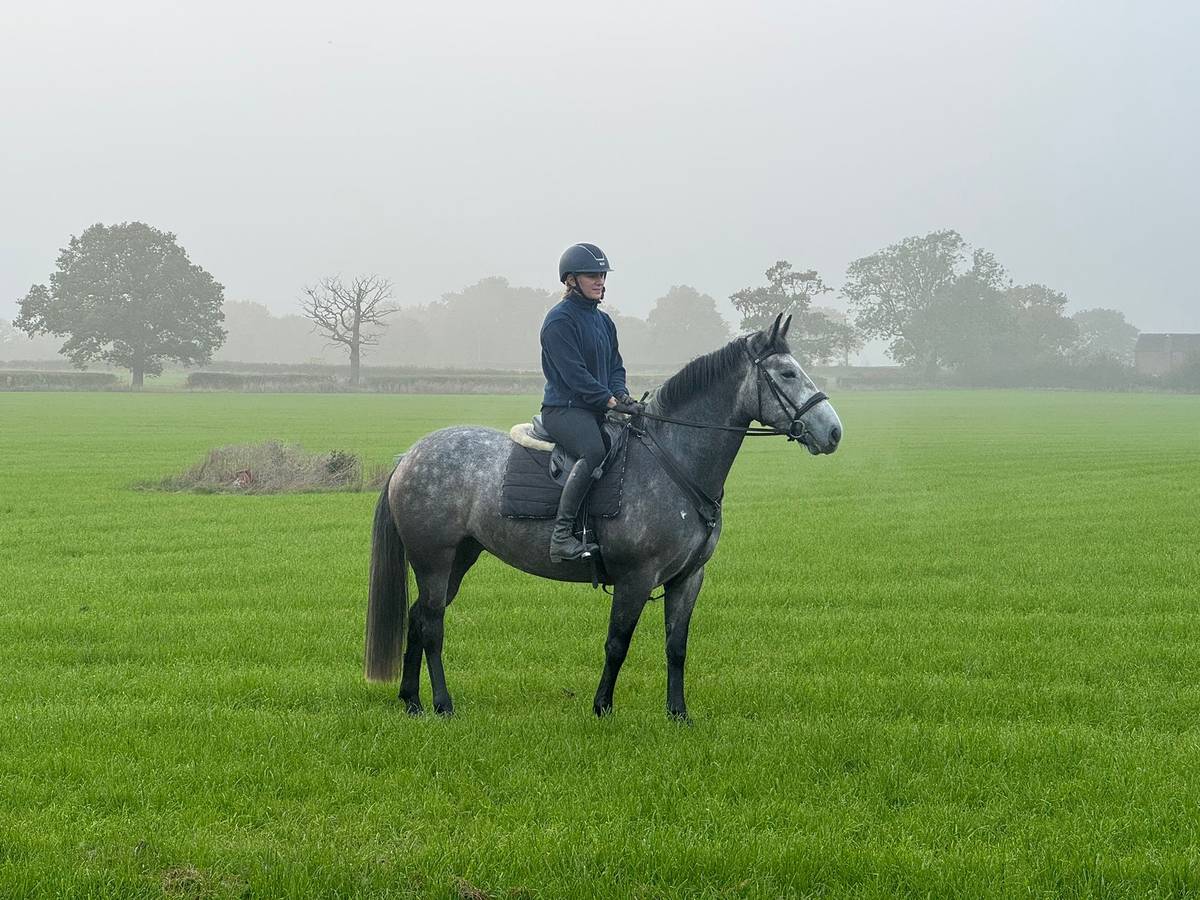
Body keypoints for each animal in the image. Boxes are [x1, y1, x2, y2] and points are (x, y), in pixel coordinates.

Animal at [365, 314, 842, 720]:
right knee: (431, 625)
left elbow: (676, 647)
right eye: (787, 374)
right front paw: (602, 708)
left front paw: (678, 714)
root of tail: (410, 456)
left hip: (459, 559)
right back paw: (442, 704)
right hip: (434, 560)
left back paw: (411, 701)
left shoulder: (688, 578)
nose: (834, 432)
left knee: (417, 618)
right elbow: (618, 643)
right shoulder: (636, 578)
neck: (673, 460)